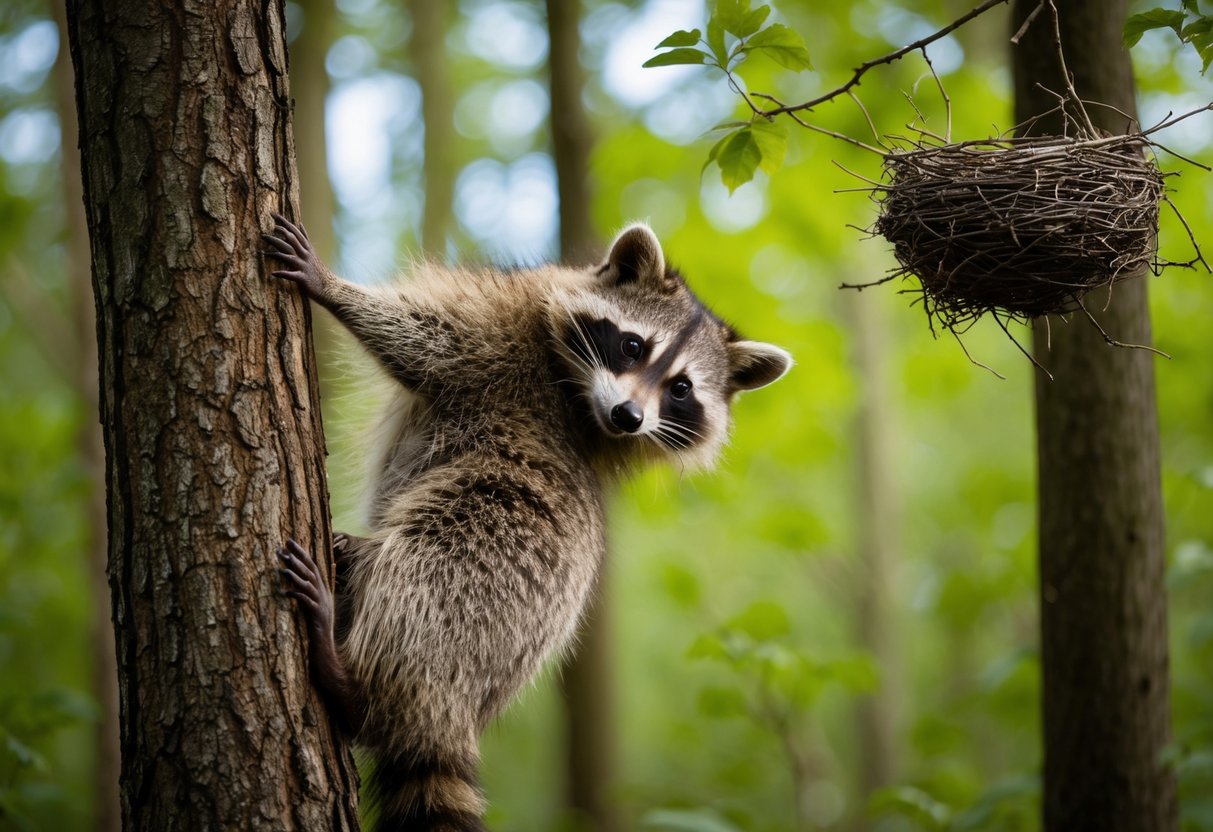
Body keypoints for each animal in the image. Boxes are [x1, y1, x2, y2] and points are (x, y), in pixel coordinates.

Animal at [264, 213, 790, 831]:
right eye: (633, 346)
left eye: (680, 387)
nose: (629, 417)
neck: (579, 393)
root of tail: (452, 719)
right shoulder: (509, 340)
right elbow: (422, 340)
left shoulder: (489, 346)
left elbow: (415, 339)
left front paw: (333, 288)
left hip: (495, 557)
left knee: (427, 569)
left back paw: (348, 670)